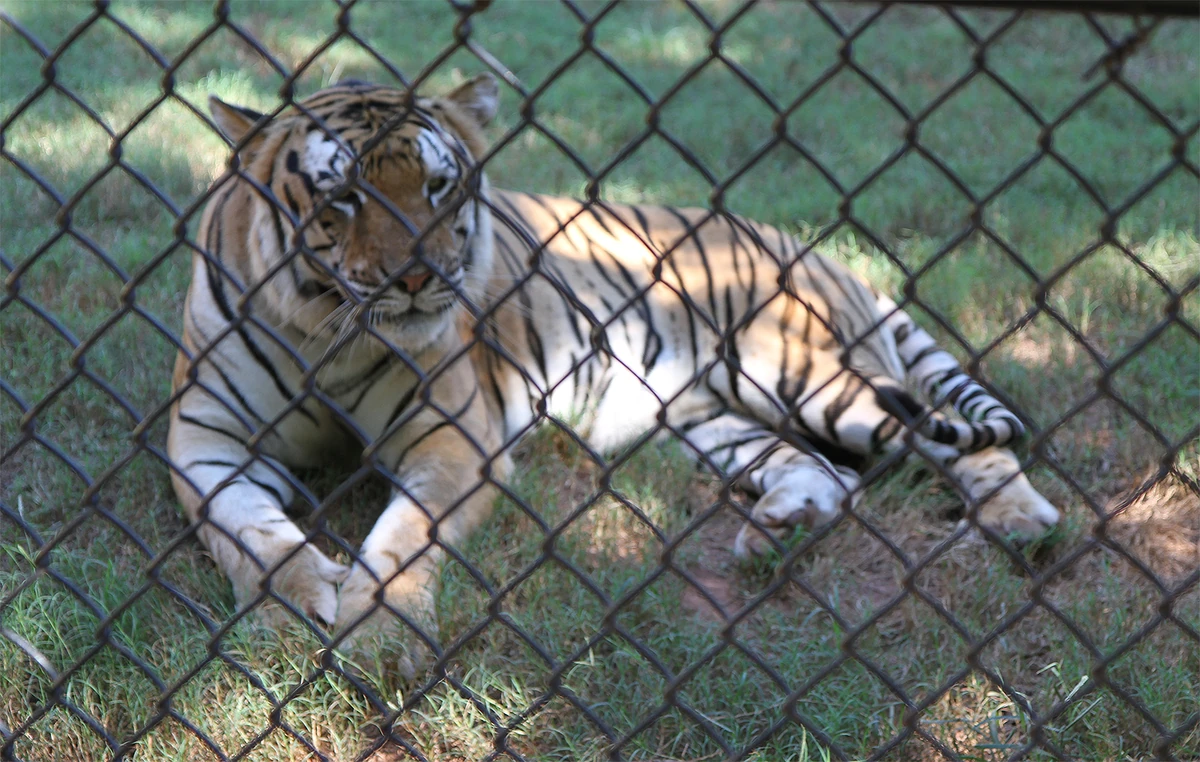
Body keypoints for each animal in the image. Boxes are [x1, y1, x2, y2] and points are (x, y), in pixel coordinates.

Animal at [167, 74, 1060, 676]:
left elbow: (401, 546)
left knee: (961, 445)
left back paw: (1019, 521)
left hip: (802, 374)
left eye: (438, 185)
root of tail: (809, 246)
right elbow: (249, 535)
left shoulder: (451, 442)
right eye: (344, 197)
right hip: (710, 417)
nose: (422, 278)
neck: (331, 334)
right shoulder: (203, 440)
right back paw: (777, 530)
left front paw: (381, 637)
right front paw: (290, 615)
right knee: (829, 474)